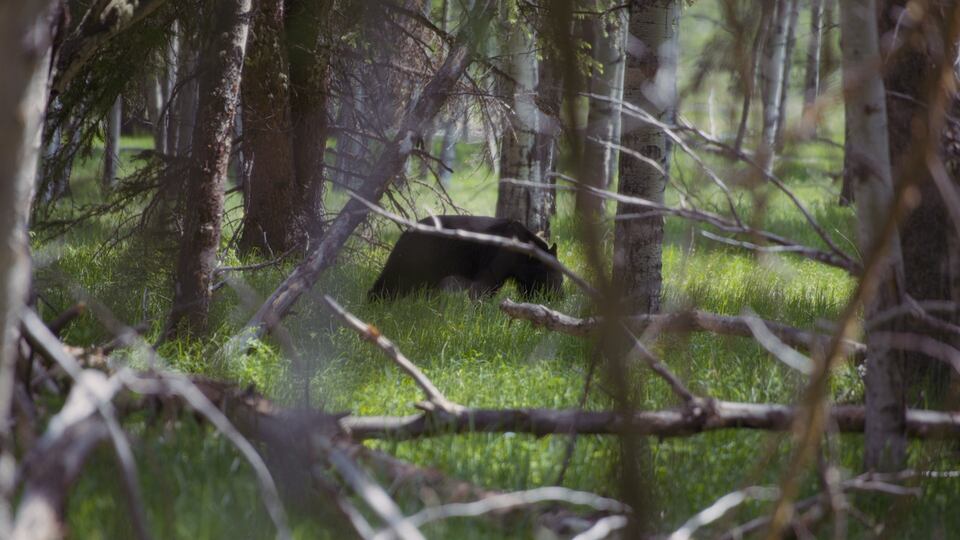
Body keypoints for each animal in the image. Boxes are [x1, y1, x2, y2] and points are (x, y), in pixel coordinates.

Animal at [367, 215, 563, 301]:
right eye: (554, 278)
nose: (560, 297)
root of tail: (405, 232)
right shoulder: (496, 260)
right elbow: (484, 286)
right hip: (416, 259)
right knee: (393, 279)